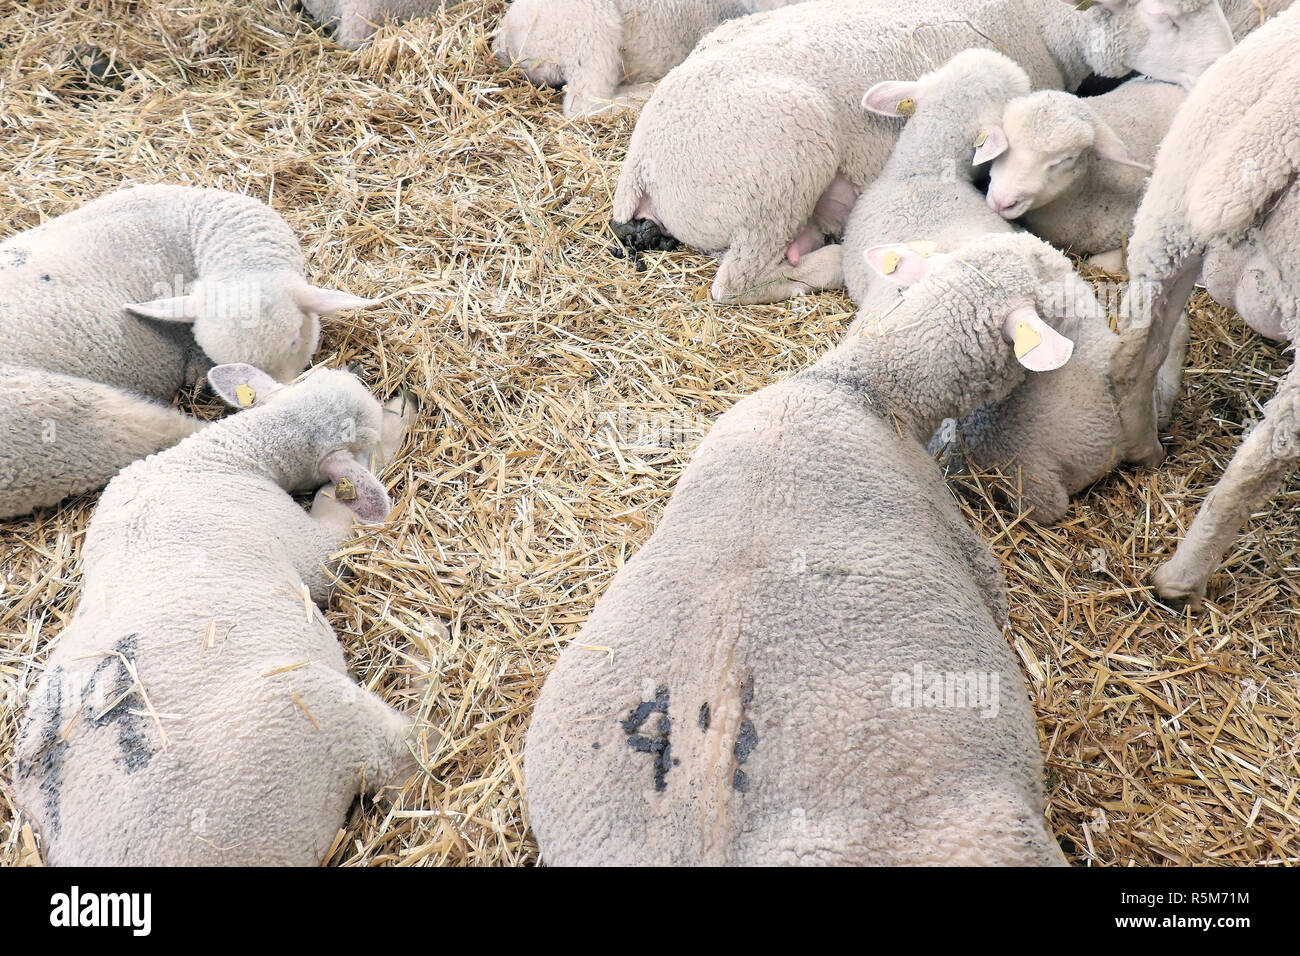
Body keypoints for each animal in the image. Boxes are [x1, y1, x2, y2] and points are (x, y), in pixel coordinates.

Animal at [12, 363, 419, 866]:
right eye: (365, 432)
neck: (231, 452)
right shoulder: (313, 550)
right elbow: (335, 530)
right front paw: (400, 417)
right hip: (304, 711)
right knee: (408, 756)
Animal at [1109, 4, 1300, 608]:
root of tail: (1272, 134)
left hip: (1173, 203)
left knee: (1132, 354)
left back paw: (1143, 451)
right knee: (1262, 459)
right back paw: (1181, 581)